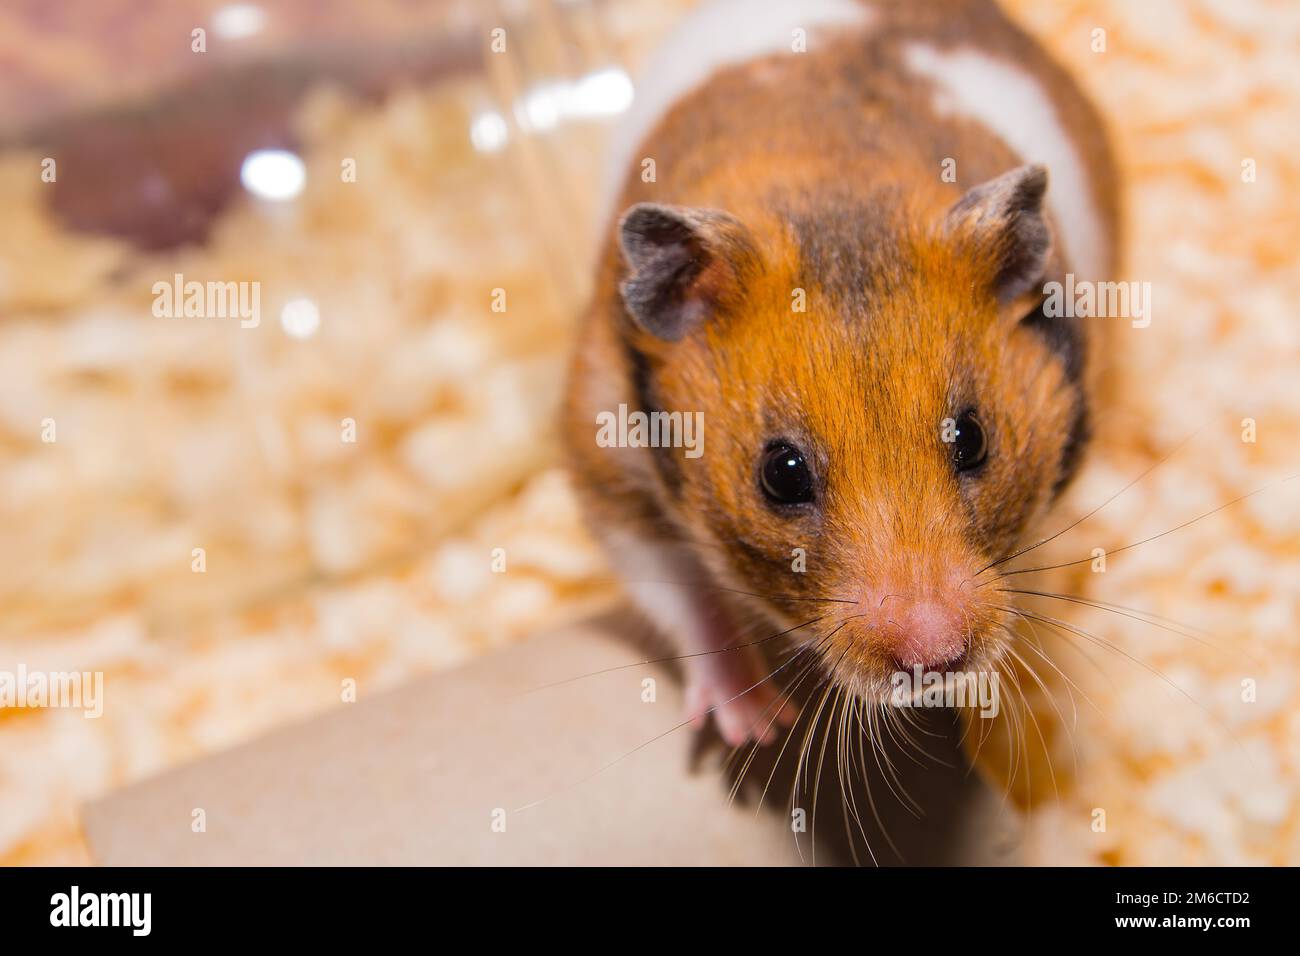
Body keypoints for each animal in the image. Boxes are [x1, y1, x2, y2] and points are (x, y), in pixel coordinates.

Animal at [562, 0, 1120, 746]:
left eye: (973, 439)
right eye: (781, 474)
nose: (937, 659)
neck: (835, 198)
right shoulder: (607, 460)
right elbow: (687, 595)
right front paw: (757, 729)